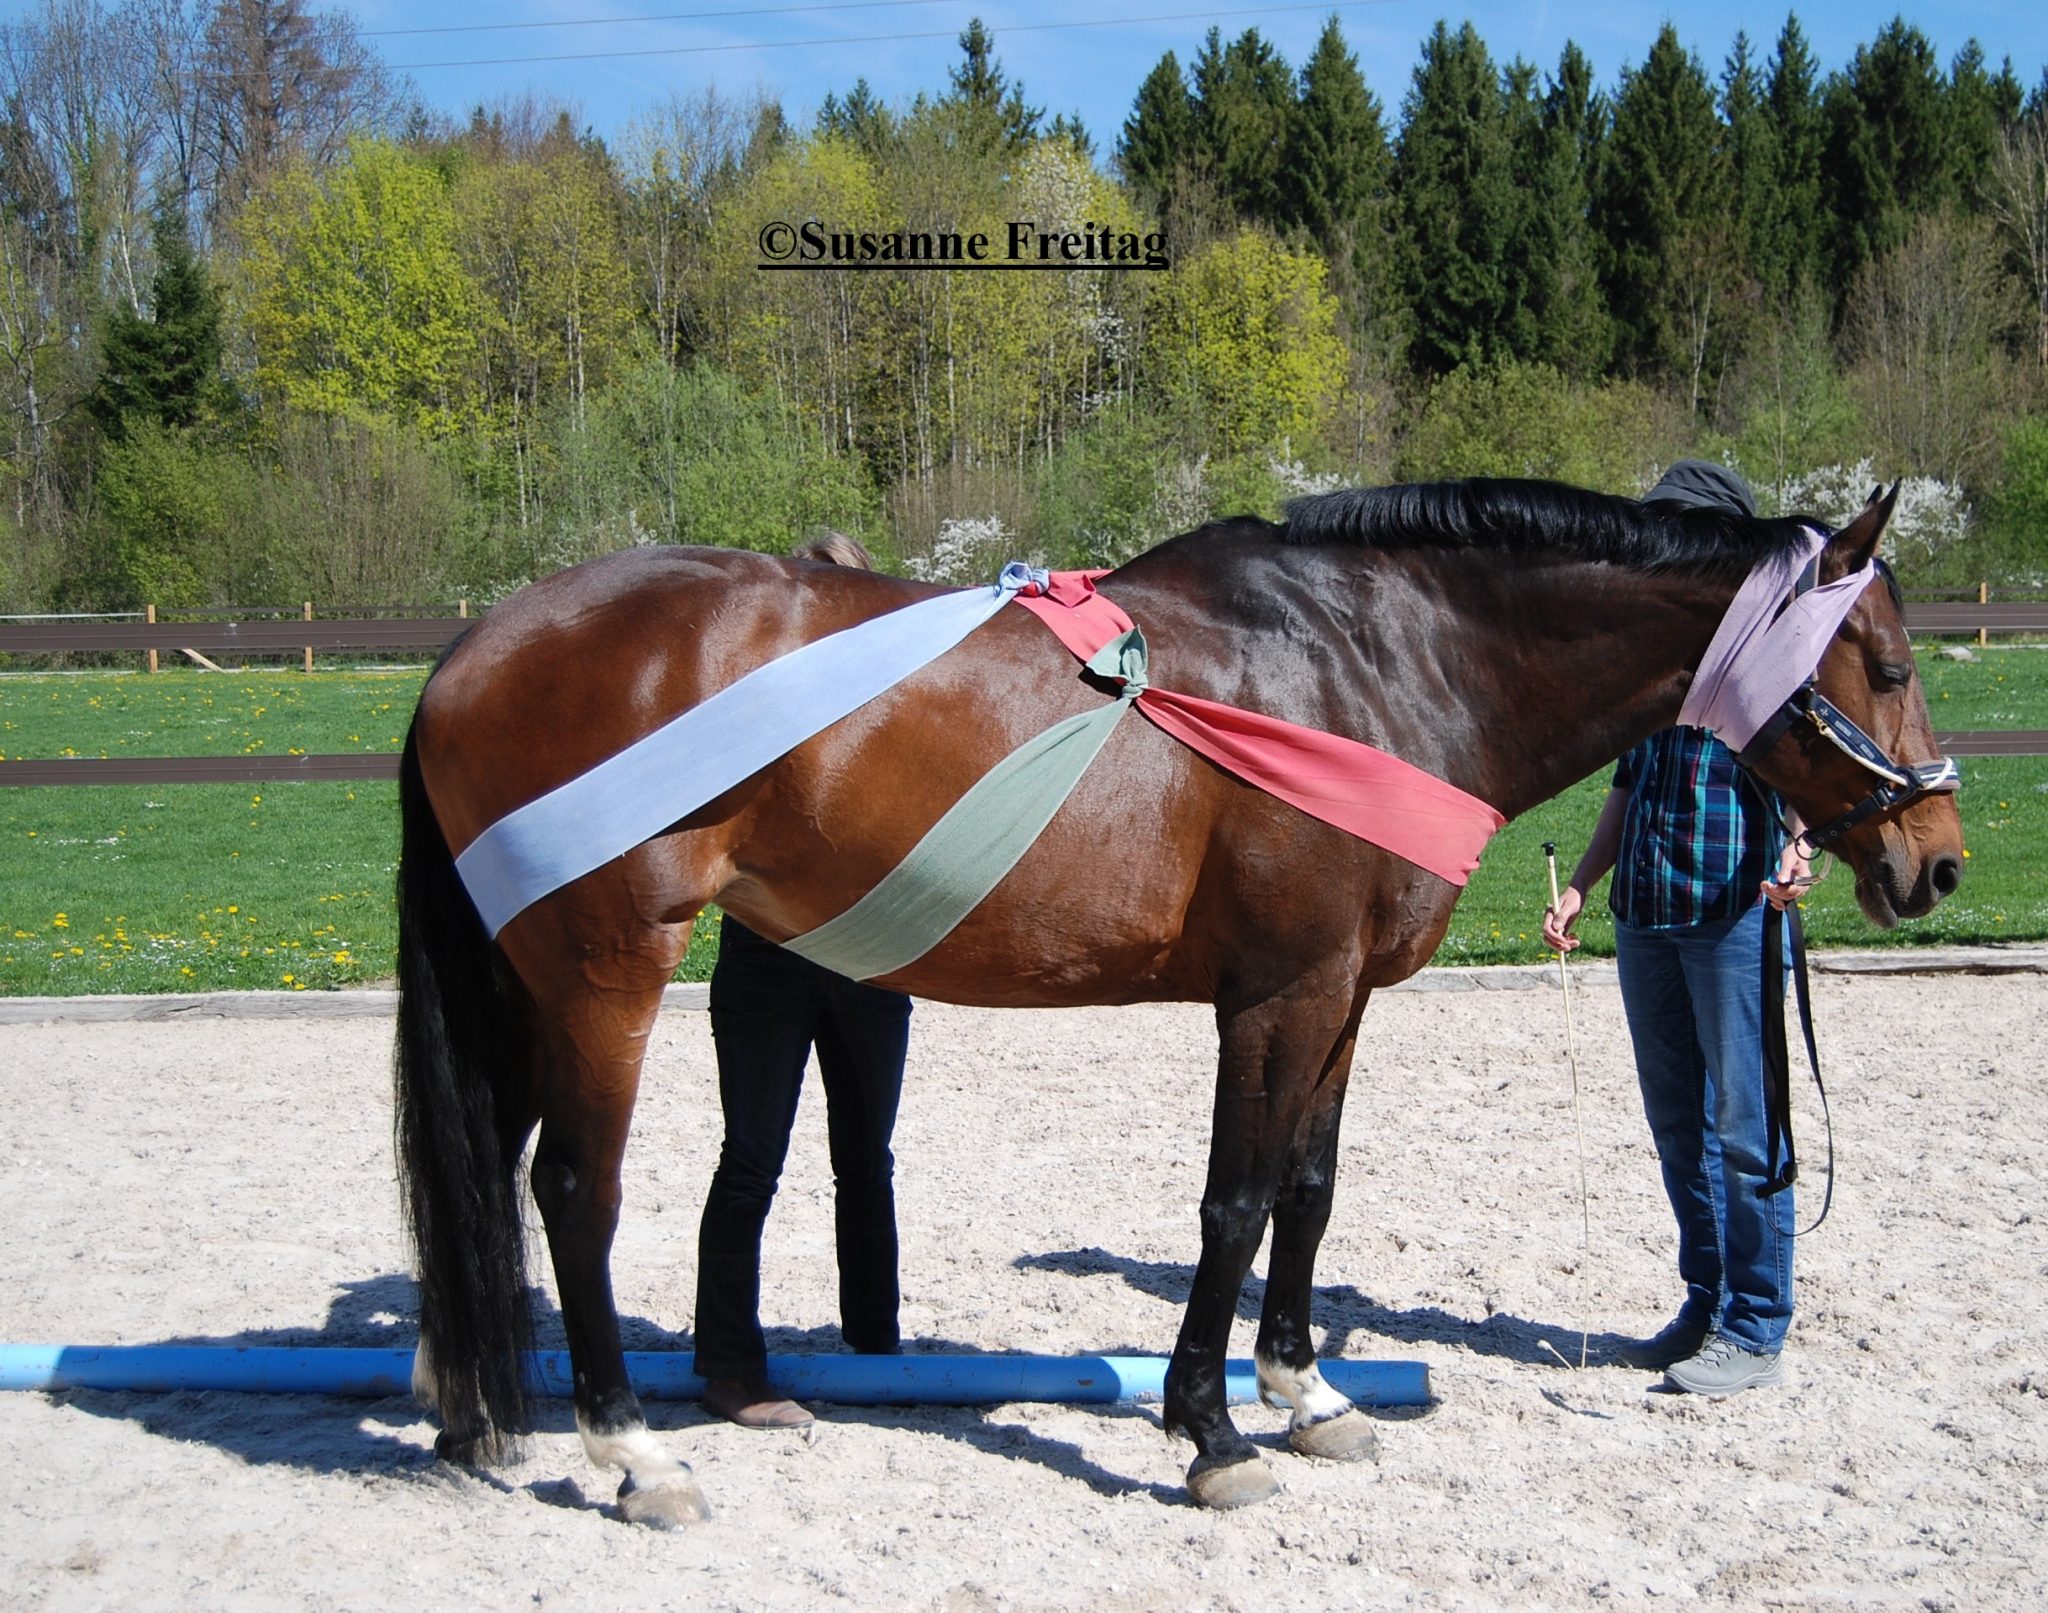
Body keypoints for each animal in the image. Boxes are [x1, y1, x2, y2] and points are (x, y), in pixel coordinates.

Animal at [394, 477, 1963, 1525]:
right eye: (1886, 664)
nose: (1935, 861)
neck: (1372, 665)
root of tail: (470, 649)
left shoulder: (1344, 995)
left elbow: (1310, 1191)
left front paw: (1308, 1397)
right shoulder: (1276, 993)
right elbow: (1236, 1198)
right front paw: (1210, 1429)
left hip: (524, 985)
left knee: (490, 1180)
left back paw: (476, 1411)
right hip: (605, 969)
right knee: (574, 1189)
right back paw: (630, 1452)